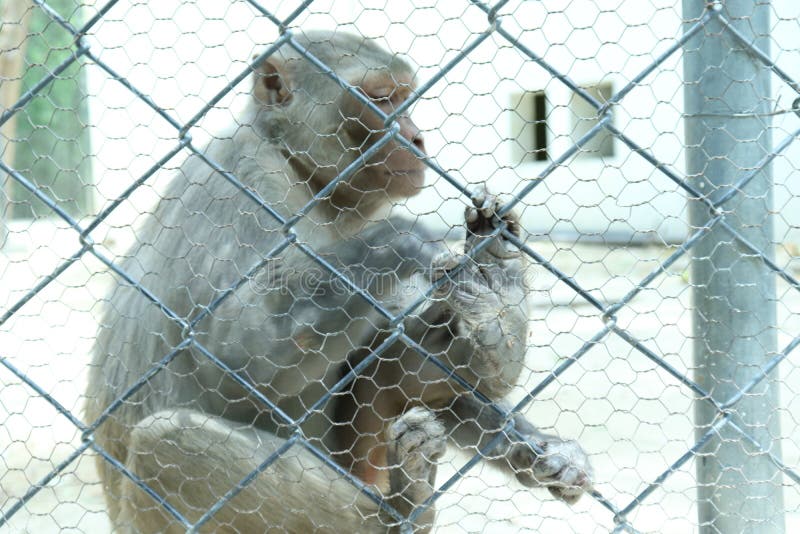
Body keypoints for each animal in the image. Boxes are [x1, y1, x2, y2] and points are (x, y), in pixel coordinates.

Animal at [85, 31, 592, 533]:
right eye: (379, 98)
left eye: (406, 98)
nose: (416, 136)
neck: (305, 176)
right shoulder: (247, 181)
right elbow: (230, 357)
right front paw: (401, 241)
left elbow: (416, 357)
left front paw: (499, 312)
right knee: (167, 441)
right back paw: (398, 513)